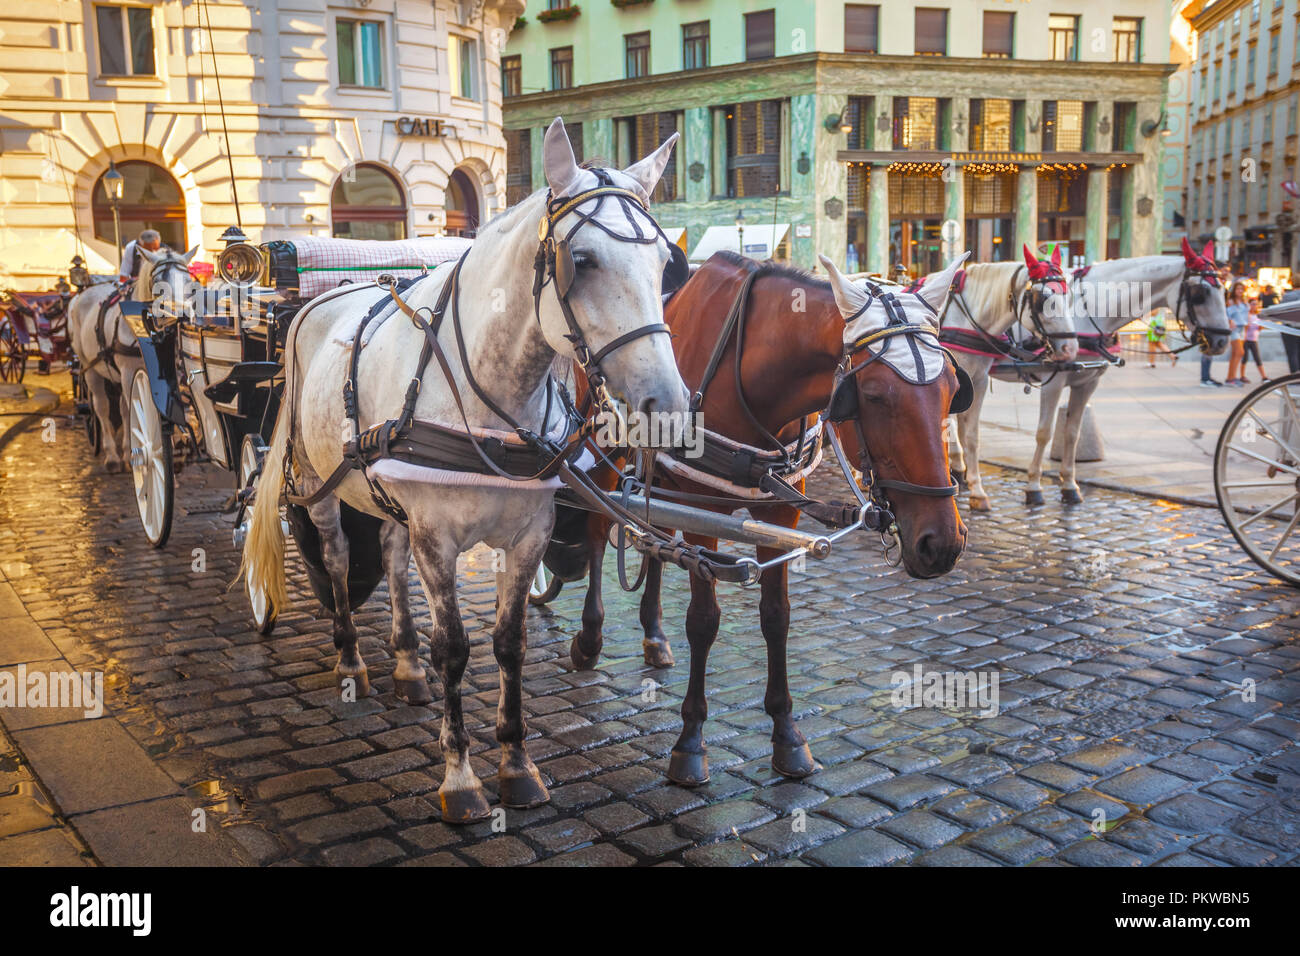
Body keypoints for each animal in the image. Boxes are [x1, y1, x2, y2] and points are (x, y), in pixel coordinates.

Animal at [67, 247, 196, 471]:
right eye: (158, 283)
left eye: (188, 281)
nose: (182, 315)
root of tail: (82, 293)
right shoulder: (128, 372)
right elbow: (133, 411)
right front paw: (135, 453)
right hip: (90, 368)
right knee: (102, 407)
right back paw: (112, 455)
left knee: (120, 405)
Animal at [243, 118, 691, 823]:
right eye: (583, 261)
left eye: (667, 268)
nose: (666, 406)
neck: (489, 396)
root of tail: (318, 301)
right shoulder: (440, 538)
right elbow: (454, 646)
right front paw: (460, 778)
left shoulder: (527, 535)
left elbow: (509, 643)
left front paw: (516, 763)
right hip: (318, 485)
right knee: (339, 560)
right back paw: (352, 661)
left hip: (389, 494)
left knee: (390, 554)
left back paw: (405, 665)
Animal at [554, 249, 971, 786]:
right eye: (875, 394)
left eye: (953, 389)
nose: (942, 543)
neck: (753, 380)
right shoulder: (704, 509)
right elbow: (704, 621)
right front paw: (690, 741)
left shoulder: (784, 511)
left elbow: (777, 617)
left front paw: (787, 734)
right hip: (601, 447)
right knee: (598, 530)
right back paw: (590, 637)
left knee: (655, 538)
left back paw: (653, 635)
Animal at [937, 245, 1080, 512]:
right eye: (1042, 301)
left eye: (1070, 297)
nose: (1070, 349)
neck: (964, 319)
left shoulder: (979, 381)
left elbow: (971, 436)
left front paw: (977, 490)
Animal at [1020, 238, 1231, 505]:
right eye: (1200, 295)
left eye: (1224, 291)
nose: (1221, 342)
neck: (1087, 310)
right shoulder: (1053, 381)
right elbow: (1044, 433)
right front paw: (1034, 486)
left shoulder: (1087, 382)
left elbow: (1072, 433)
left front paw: (1069, 485)